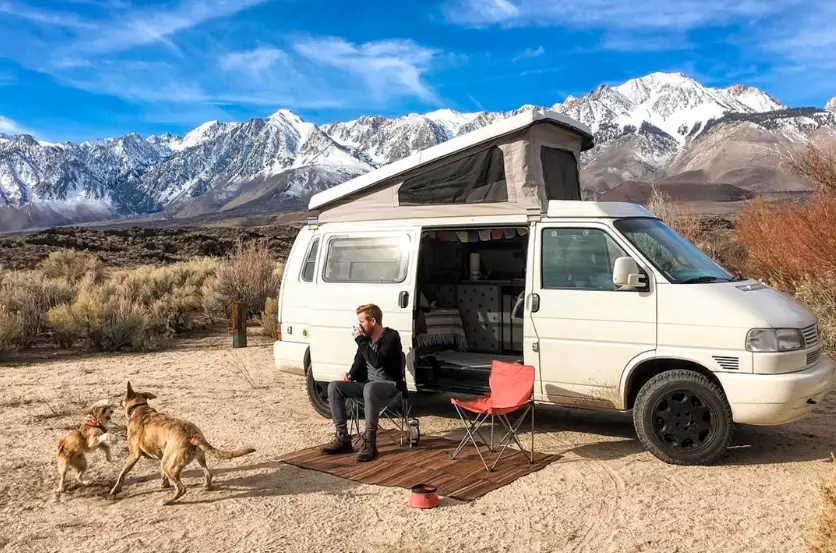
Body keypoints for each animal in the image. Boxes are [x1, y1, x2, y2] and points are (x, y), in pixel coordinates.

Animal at [111, 382, 255, 502]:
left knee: (181, 488)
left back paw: (168, 501)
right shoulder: (162, 455)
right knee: (208, 473)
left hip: (169, 465)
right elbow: (162, 475)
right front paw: (164, 484)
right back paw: (206, 486)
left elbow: (122, 474)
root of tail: (192, 436)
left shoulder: (133, 455)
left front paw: (115, 489)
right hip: (197, 457)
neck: (139, 409)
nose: (117, 402)